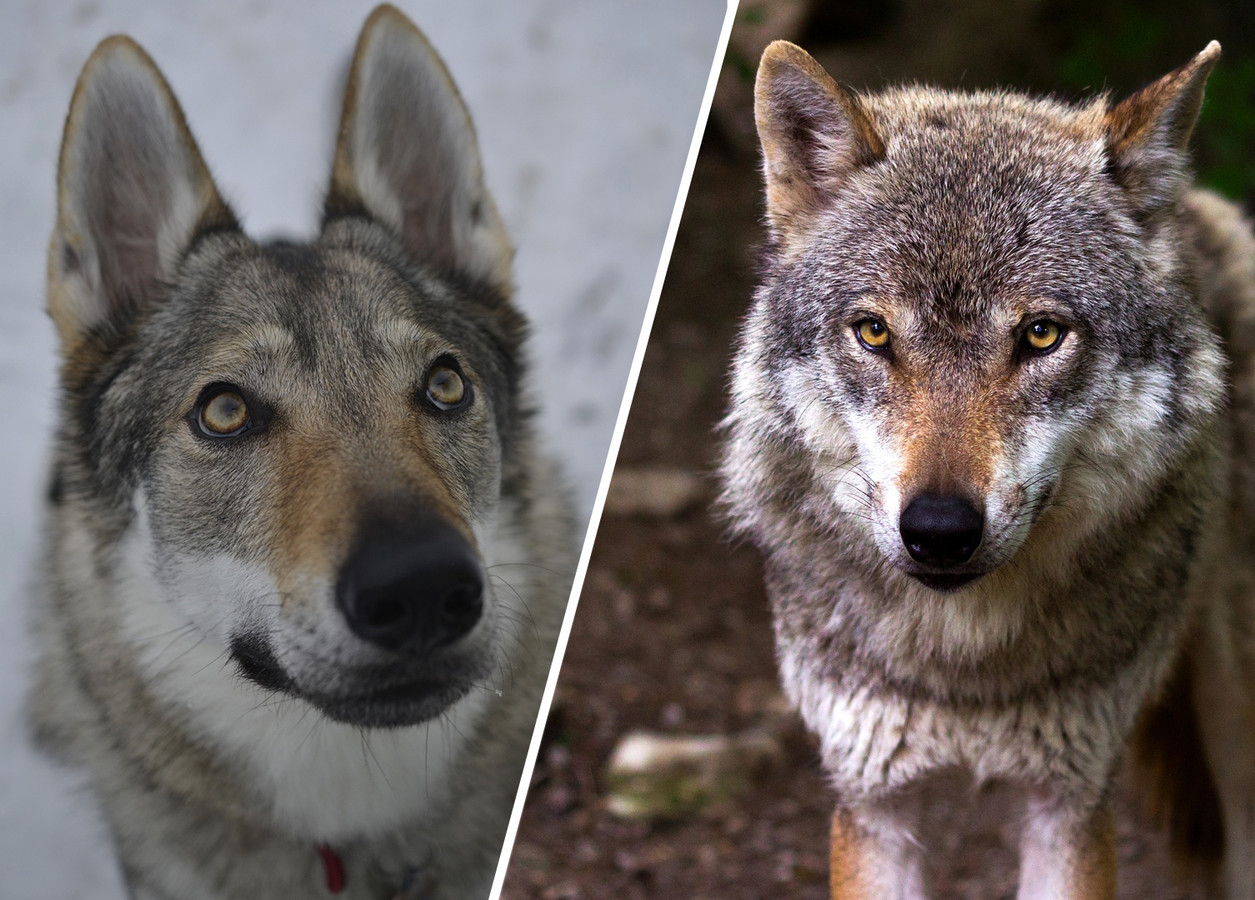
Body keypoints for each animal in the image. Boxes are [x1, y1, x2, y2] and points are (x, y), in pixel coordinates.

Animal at [720, 39, 1255, 899]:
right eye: (873, 332)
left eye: (1040, 335)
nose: (938, 530)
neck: (963, 666)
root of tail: (1198, 206)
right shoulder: (872, 803)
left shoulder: (1067, 803)